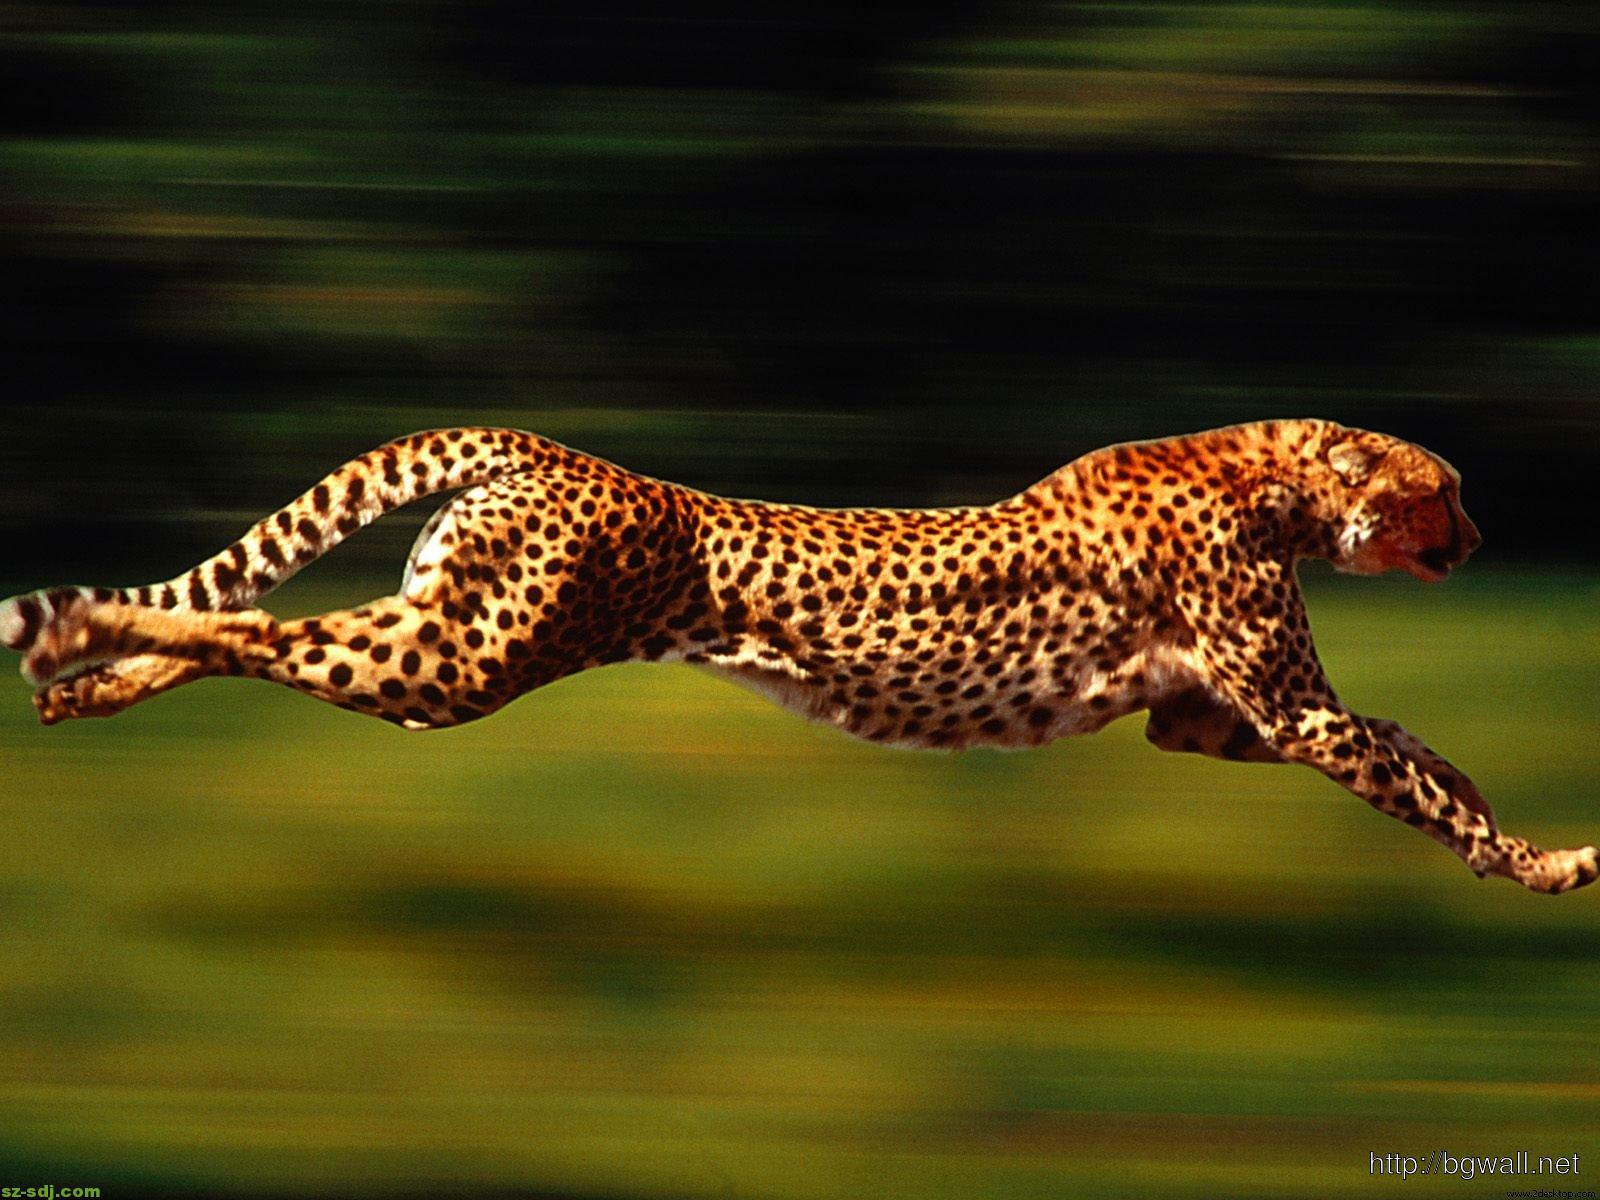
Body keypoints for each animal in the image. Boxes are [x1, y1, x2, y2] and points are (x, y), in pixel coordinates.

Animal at [1, 419, 1594, 894]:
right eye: (1446, 486)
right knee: (260, 625)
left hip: (435, 641)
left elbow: (1411, 746)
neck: (1276, 474)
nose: (1481, 528)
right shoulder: (1282, 713)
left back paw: (88, 679)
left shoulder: (1200, 722)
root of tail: (543, 444)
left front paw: (1502, 822)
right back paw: (79, 634)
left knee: (264, 632)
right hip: (463, 662)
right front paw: (1544, 863)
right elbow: (1400, 766)